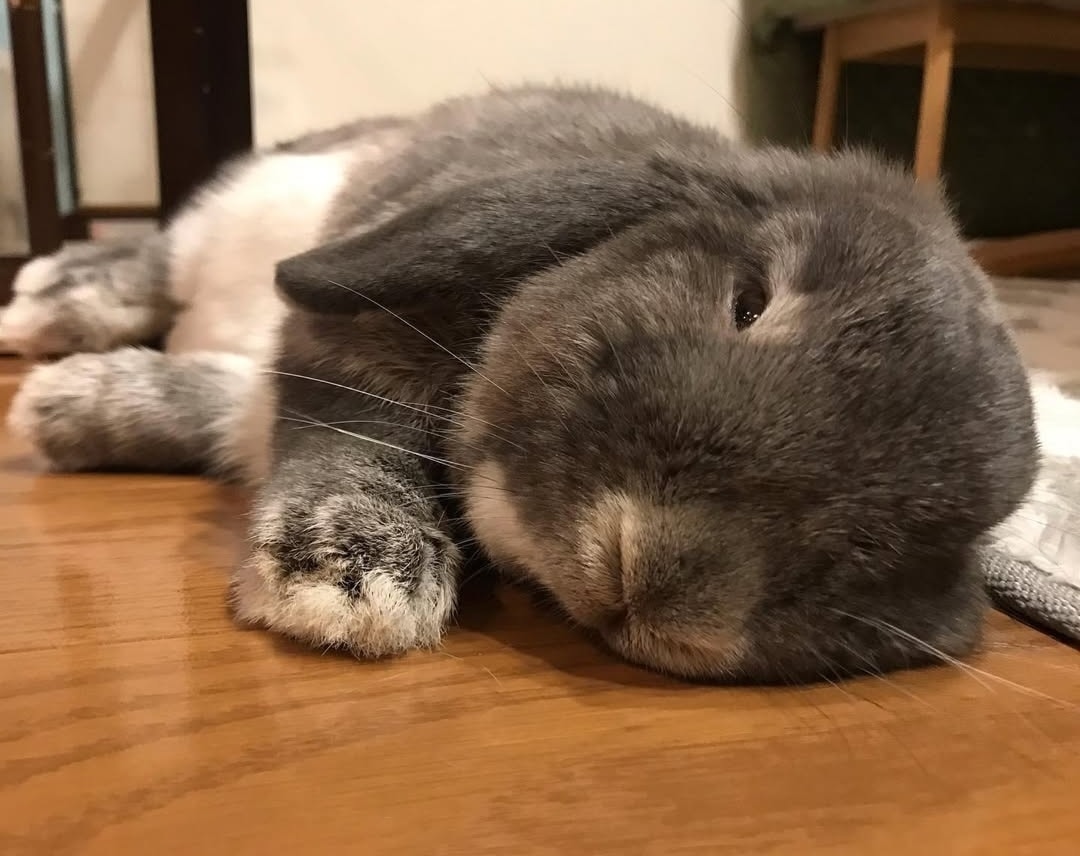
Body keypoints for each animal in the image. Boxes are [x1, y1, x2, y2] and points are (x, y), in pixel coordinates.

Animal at [1, 85, 1041, 683]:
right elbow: (349, 440)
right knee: (151, 257)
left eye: (938, 538)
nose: (659, 578)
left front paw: (70, 410)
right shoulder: (343, 345)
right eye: (748, 301)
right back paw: (45, 301)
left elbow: (225, 410)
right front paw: (349, 579)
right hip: (249, 205)